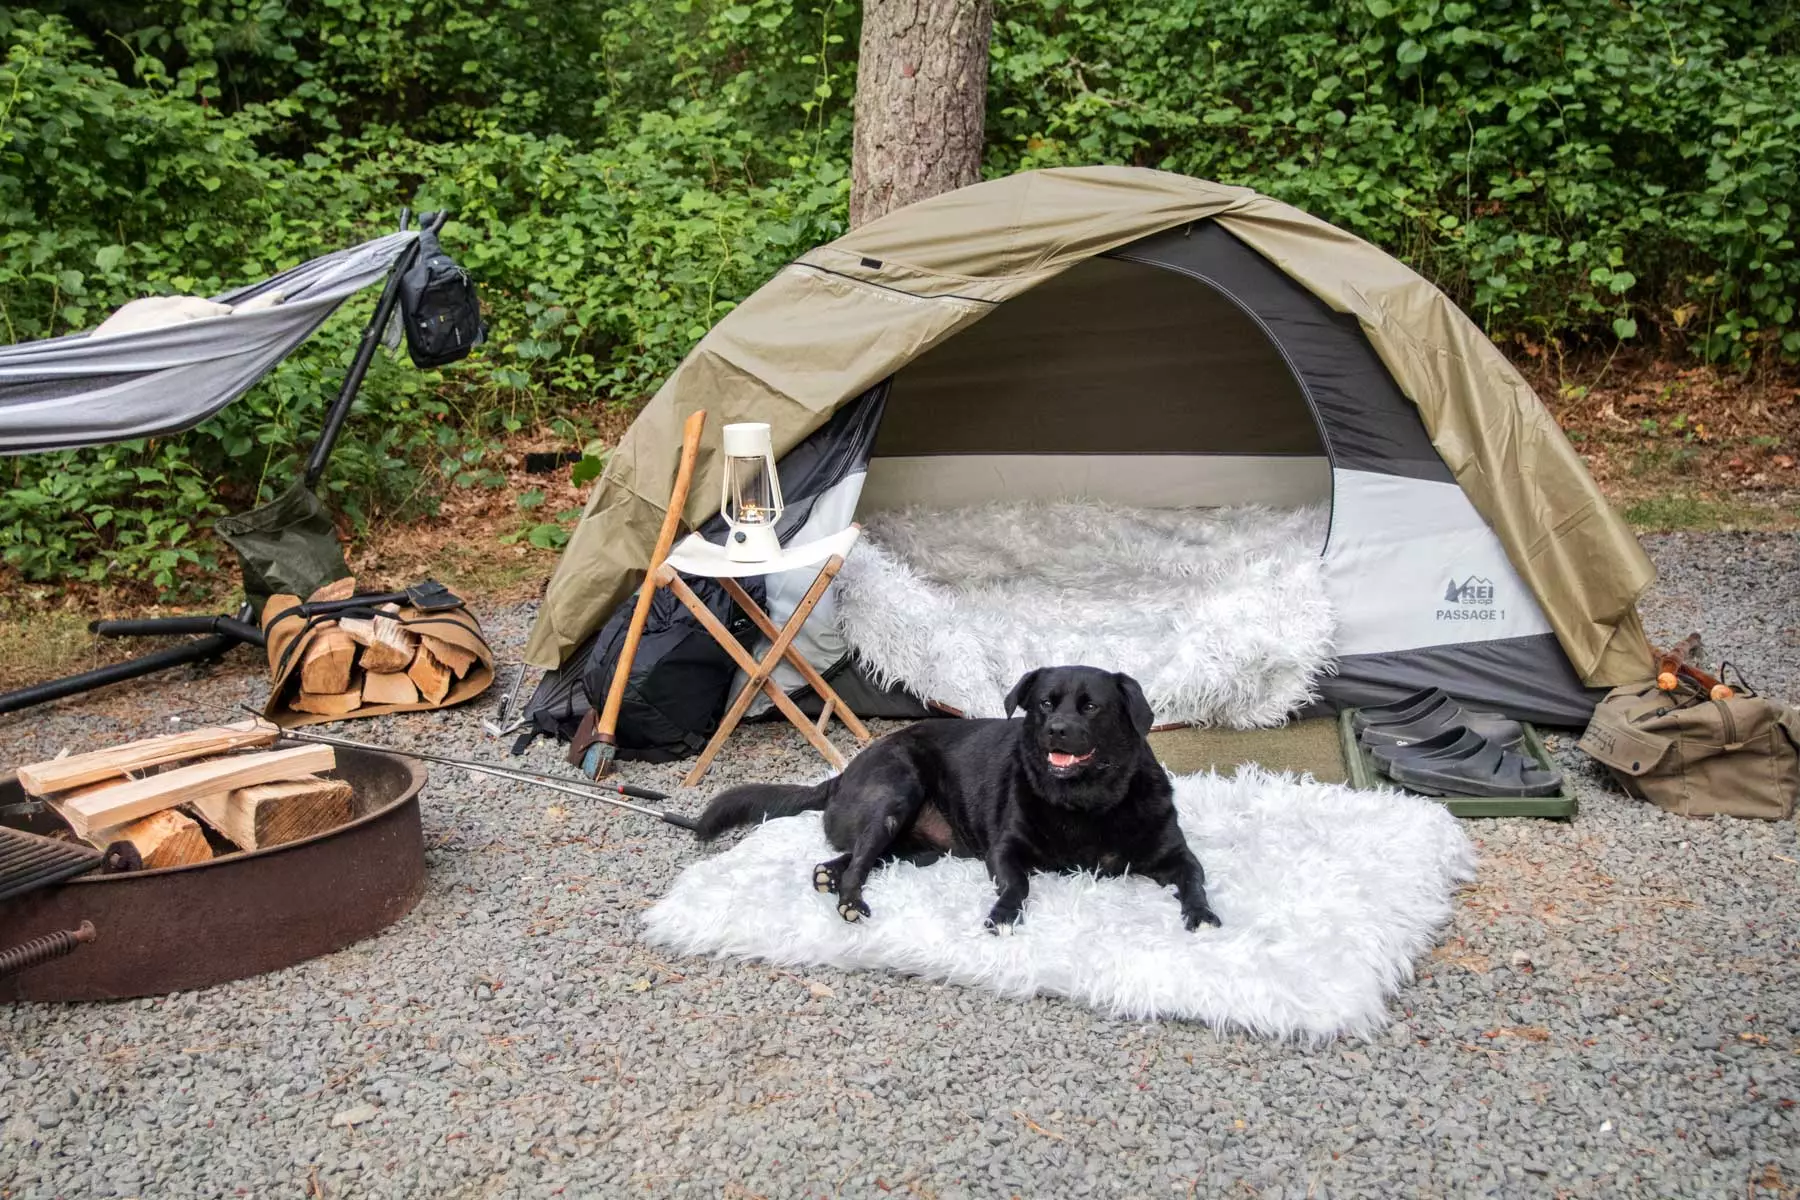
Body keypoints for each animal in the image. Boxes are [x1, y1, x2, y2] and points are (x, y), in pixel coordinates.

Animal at [694, 672, 1216, 935]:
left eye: (1090, 706)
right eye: (1045, 704)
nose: (1056, 731)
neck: (1085, 803)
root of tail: (842, 774)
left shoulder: (1176, 854)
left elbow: (1195, 880)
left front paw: (1201, 914)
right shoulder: (1005, 852)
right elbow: (1018, 884)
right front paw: (1003, 915)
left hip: (917, 847)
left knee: (853, 856)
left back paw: (829, 876)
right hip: (895, 793)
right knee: (861, 859)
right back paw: (850, 900)